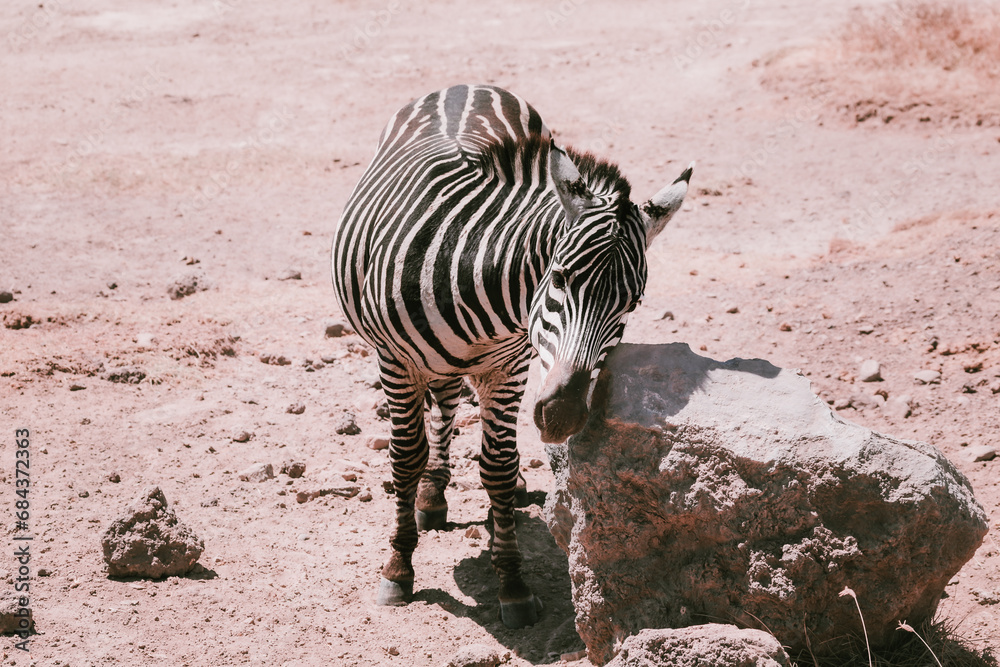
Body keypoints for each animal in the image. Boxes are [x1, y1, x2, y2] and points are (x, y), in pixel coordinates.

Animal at [331, 84, 691, 628]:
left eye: (632, 304)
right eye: (559, 276)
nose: (563, 415)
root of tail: (466, 85)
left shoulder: (510, 367)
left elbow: (497, 465)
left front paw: (513, 584)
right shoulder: (395, 362)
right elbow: (405, 458)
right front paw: (398, 568)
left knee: (456, 403)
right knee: (444, 404)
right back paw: (430, 495)